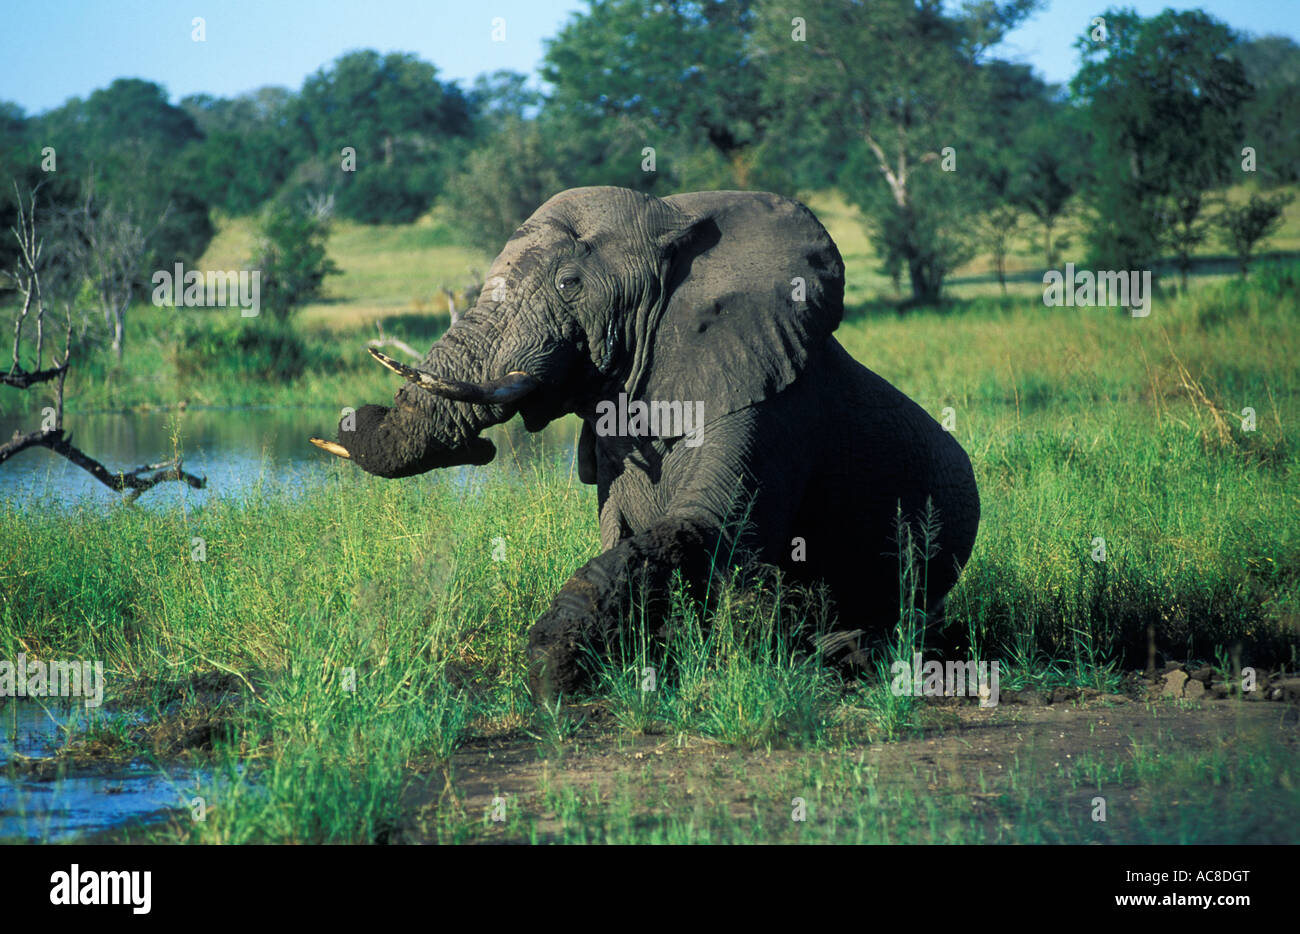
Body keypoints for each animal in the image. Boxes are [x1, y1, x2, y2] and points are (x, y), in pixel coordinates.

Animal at [311, 186, 979, 700]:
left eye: (570, 282)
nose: (356, 414)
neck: (676, 217)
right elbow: (624, 534)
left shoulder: (770, 404)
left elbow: (704, 525)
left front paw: (551, 677)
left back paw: (843, 654)